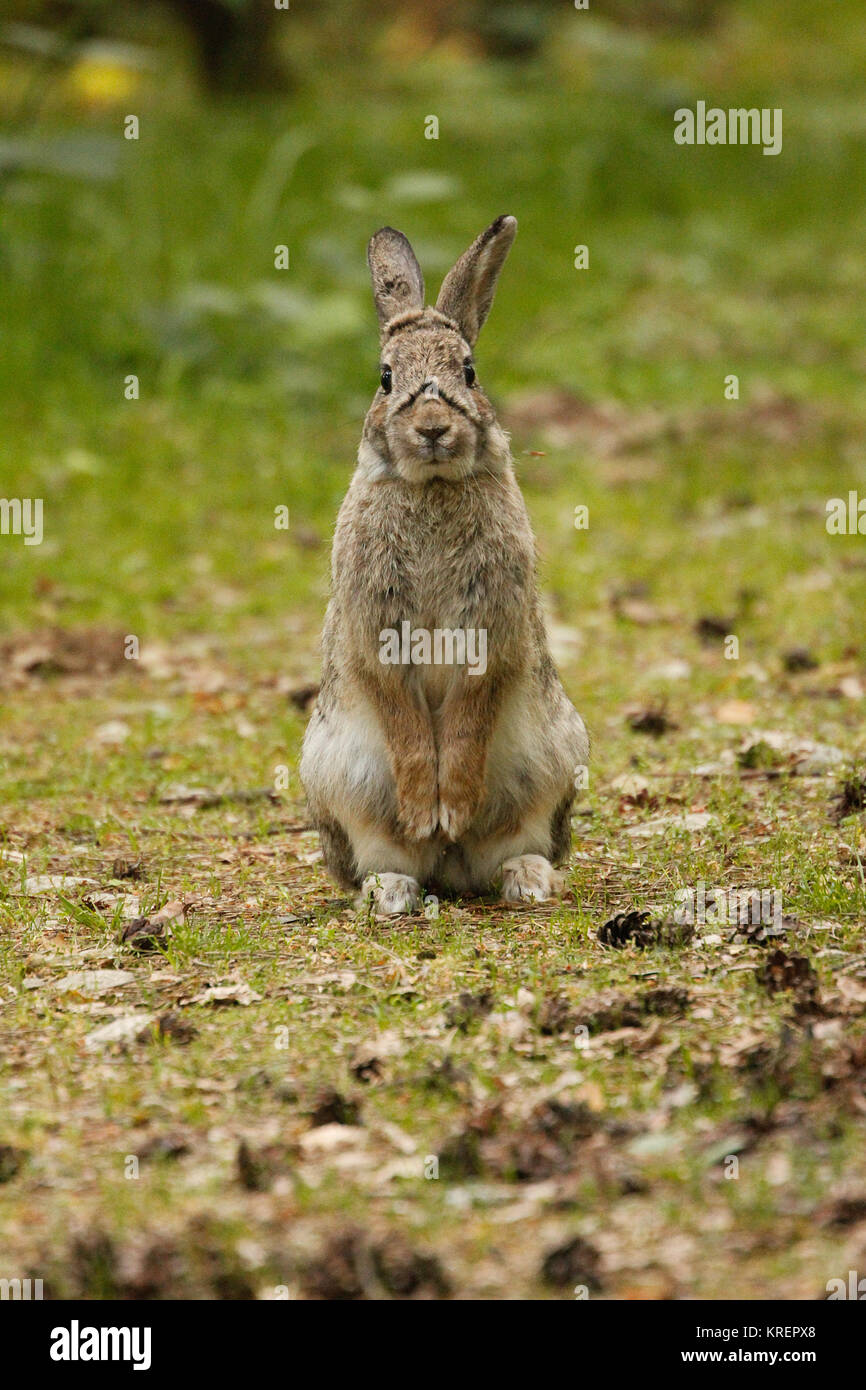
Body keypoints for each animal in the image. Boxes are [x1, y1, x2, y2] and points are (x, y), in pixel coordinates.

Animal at [300, 215, 589, 915]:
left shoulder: (494, 629)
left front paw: (451, 808)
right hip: (341, 783)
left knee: (512, 846)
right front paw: (424, 810)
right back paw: (393, 888)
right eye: (385, 378)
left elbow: (466, 718)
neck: (430, 486)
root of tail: (451, 871)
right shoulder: (375, 631)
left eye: (469, 372)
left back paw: (523, 878)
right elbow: (405, 719)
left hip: (549, 767)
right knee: (388, 854)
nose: (432, 425)